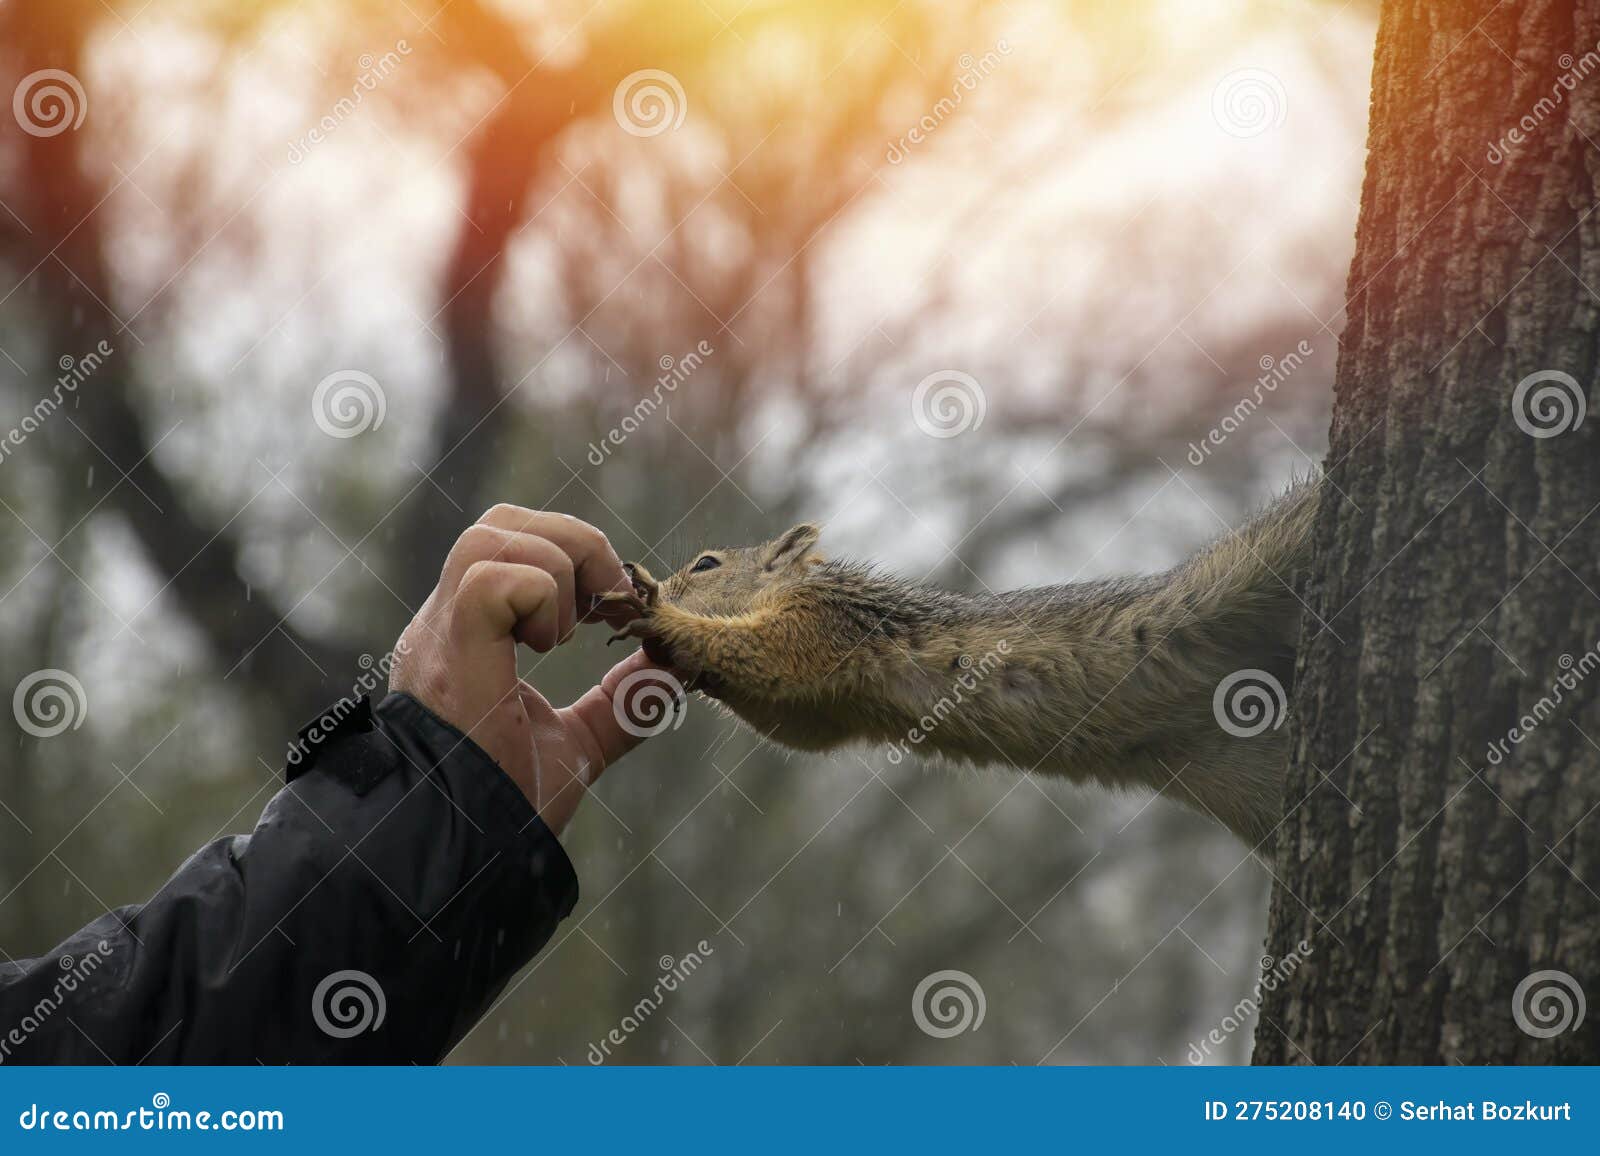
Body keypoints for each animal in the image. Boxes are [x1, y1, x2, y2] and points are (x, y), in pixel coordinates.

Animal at [599, 478, 1320, 846]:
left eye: (706, 564)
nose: (671, 582)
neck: (791, 588)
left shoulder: (826, 624)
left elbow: (770, 653)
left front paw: (657, 611)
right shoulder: (825, 707)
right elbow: (794, 721)